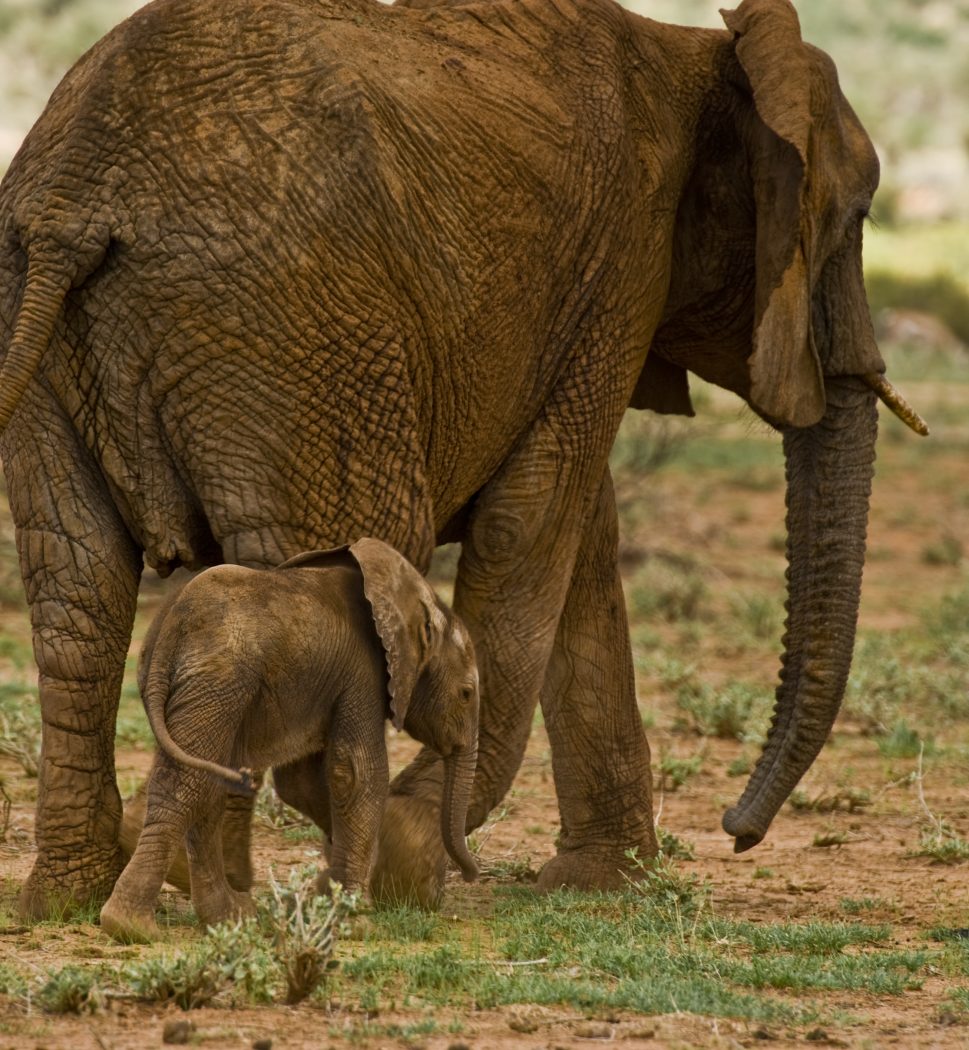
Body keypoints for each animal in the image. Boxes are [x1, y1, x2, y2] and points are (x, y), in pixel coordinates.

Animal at [99, 538, 480, 942]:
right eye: (466, 694)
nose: (471, 875)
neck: (413, 596)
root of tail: (172, 624)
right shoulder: (364, 672)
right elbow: (356, 773)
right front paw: (357, 921)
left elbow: (304, 782)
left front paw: (332, 892)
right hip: (218, 680)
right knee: (189, 784)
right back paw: (133, 927)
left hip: (192, 684)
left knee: (205, 781)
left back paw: (228, 918)